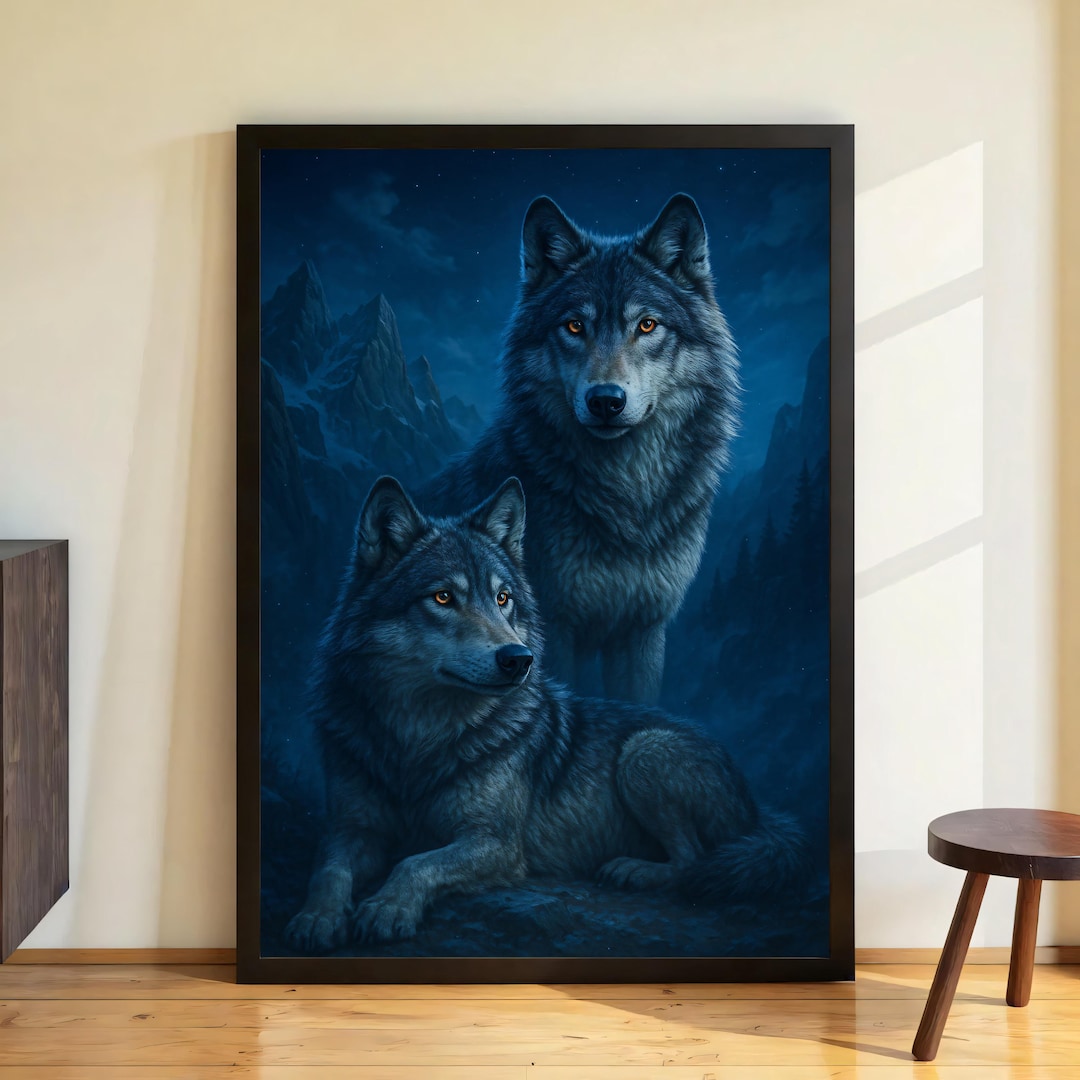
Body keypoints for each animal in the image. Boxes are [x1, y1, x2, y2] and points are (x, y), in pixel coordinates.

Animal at [285, 476, 803, 953]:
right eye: (443, 598)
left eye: (503, 598)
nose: (519, 658)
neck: (417, 739)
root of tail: (757, 807)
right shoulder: (351, 827)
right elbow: (327, 870)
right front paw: (316, 918)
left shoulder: (497, 842)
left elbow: (415, 862)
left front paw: (388, 907)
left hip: (645, 751)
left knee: (694, 861)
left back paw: (632, 869)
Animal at [420, 193, 739, 704]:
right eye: (574, 326)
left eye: (646, 325)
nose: (605, 400)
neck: (627, 500)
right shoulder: (556, 626)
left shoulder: (643, 628)